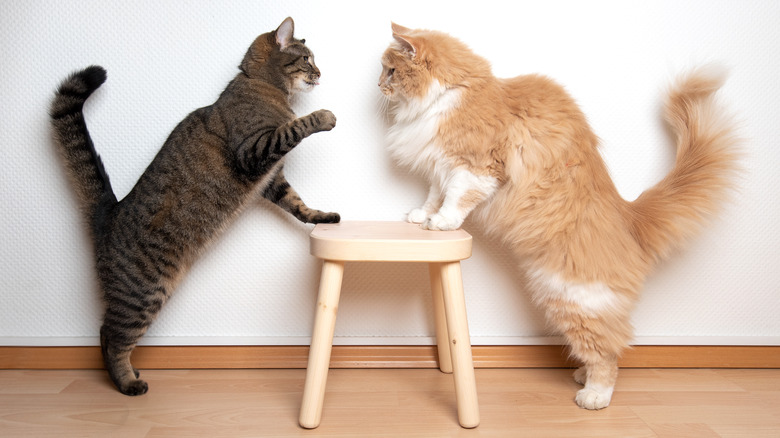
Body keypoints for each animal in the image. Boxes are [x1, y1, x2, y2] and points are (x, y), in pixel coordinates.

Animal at [51, 17, 338, 396]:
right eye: (307, 59)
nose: (320, 72)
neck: (261, 85)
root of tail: (109, 211)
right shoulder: (255, 152)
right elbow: (295, 126)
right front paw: (323, 116)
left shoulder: (272, 181)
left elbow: (297, 203)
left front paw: (321, 216)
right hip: (142, 294)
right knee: (113, 338)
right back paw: (127, 382)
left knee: (104, 335)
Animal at [380, 23, 740, 408]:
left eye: (391, 71)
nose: (378, 85)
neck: (454, 93)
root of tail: (630, 218)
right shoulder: (440, 165)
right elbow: (433, 195)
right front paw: (420, 217)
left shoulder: (475, 167)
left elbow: (455, 200)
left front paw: (443, 223)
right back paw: (581, 376)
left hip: (573, 299)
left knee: (609, 351)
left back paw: (593, 394)